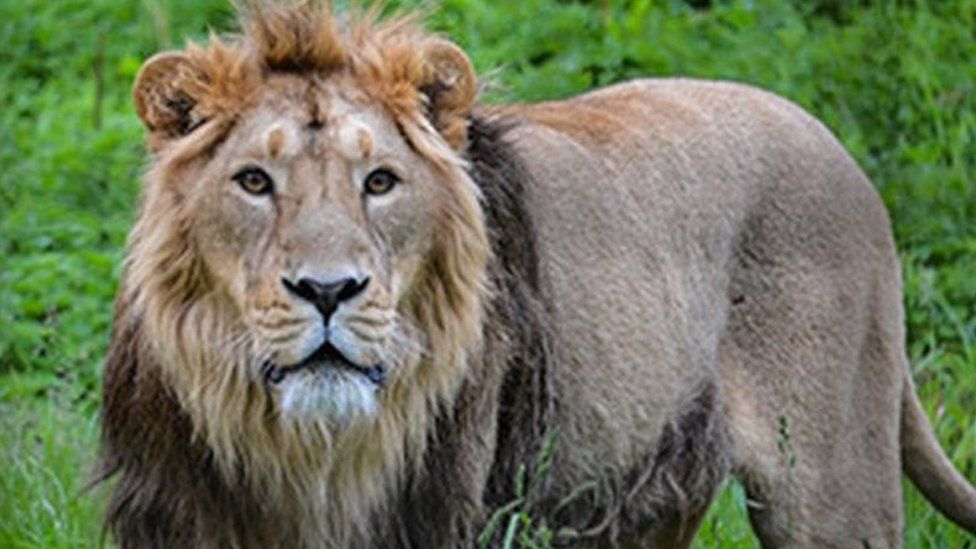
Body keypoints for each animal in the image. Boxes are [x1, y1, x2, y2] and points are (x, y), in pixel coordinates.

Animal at [96, 2, 976, 547]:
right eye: (254, 181)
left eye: (380, 182)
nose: (327, 290)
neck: (309, 459)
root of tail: (841, 154)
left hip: (832, 487)